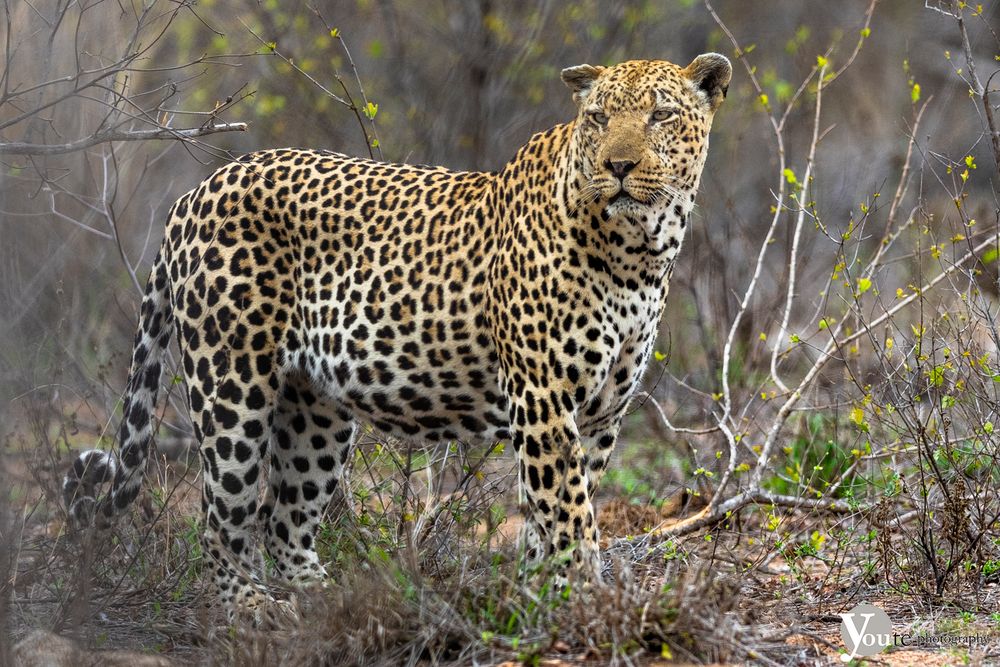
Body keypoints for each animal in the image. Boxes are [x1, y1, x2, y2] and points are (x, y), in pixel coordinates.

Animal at [63, 54, 731, 620]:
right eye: (599, 118)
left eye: (660, 115)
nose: (618, 167)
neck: (638, 251)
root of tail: (195, 192)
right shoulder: (542, 397)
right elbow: (568, 510)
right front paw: (585, 599)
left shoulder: (602, 411)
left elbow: (561, 505)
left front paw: (539, 594)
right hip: (232, 385)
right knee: (220, 518)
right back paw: (252, 608)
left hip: (315, 410)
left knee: (283, 519)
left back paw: (340, 600)